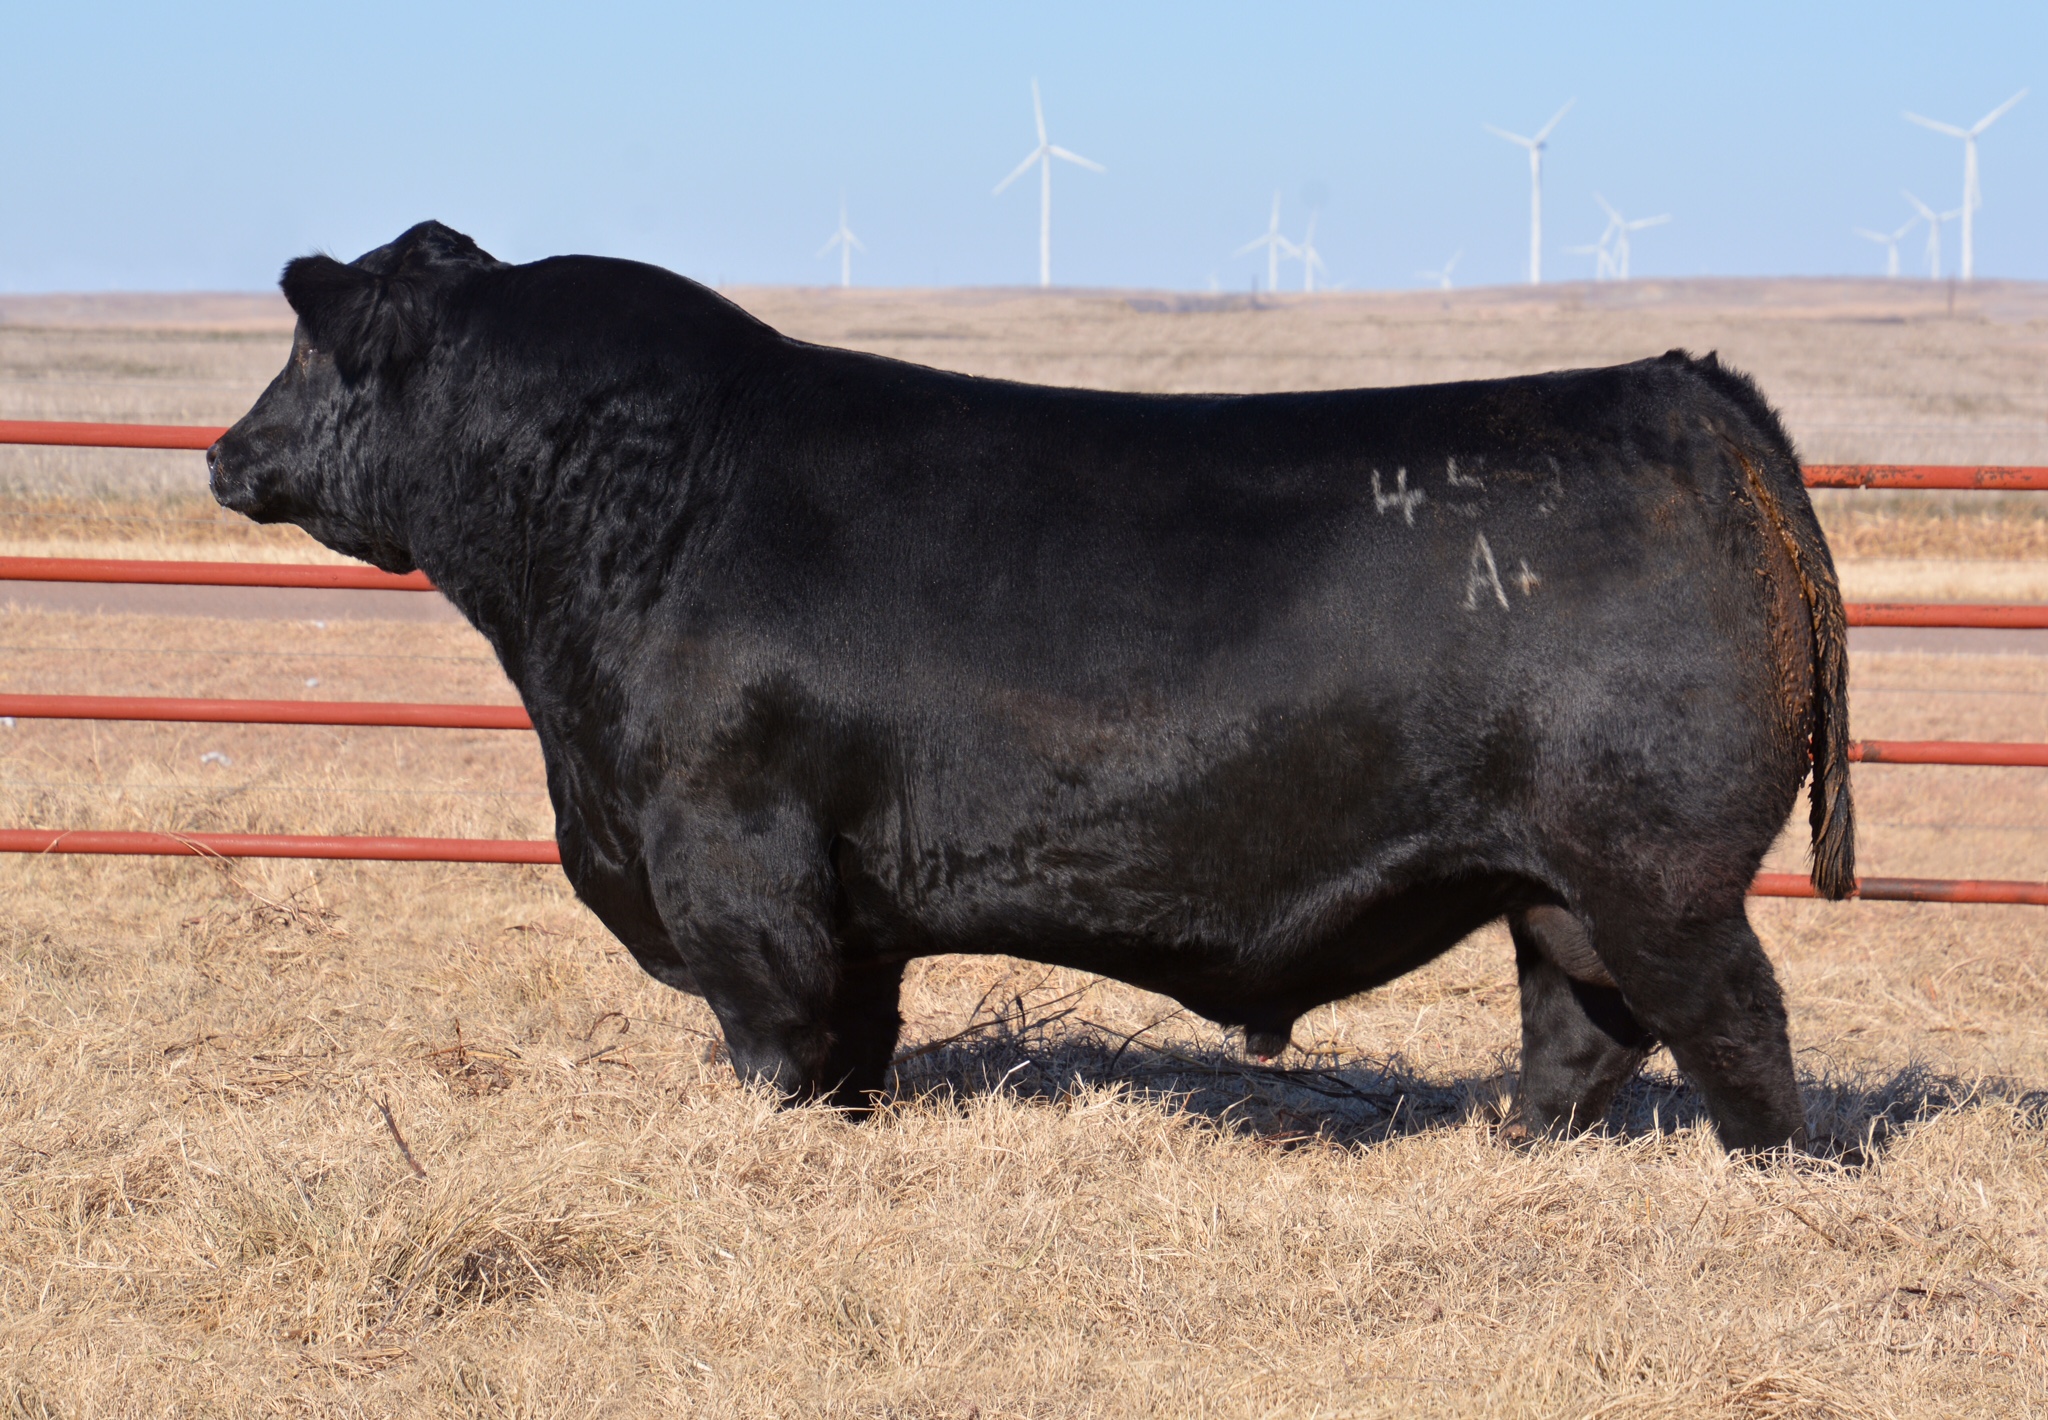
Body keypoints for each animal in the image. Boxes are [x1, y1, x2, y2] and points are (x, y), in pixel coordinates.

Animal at [208, 221, 1855, 1152]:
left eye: (305, 349)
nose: (224, 451)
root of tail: (1683, 386)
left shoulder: (729, 853)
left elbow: (777, 1038)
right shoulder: (841, 898)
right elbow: (855, 1039)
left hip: (1659, 869)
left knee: (1738, 1029)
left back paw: (1776, 1178)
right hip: (1560, 882)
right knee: (1579, 1033)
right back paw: (1516, 1160)